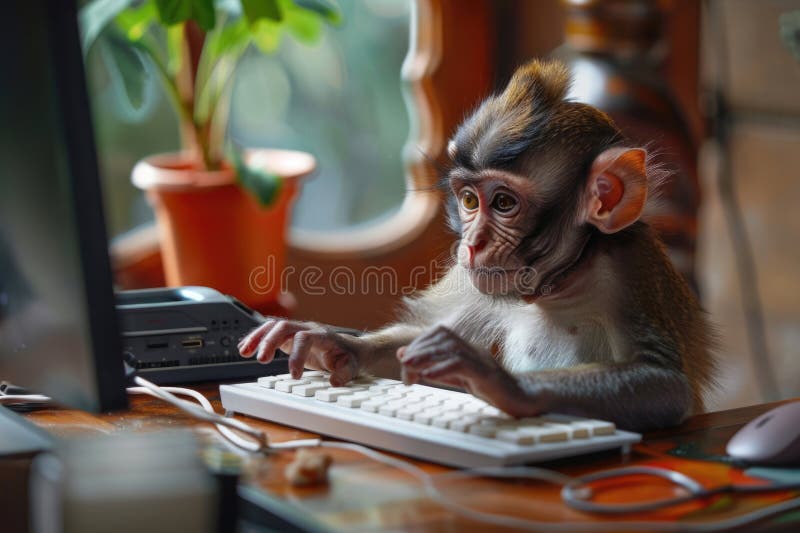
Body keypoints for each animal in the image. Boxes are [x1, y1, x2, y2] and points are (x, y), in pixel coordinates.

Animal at [238, 59, 717, 432]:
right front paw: (333, 345)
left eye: (504, 203)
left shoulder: (630, 268)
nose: (471, 244)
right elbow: (419, 341)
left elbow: (665, 385)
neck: (562, 282)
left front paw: (500, 383)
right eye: (469, 201)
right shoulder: (476, 282)